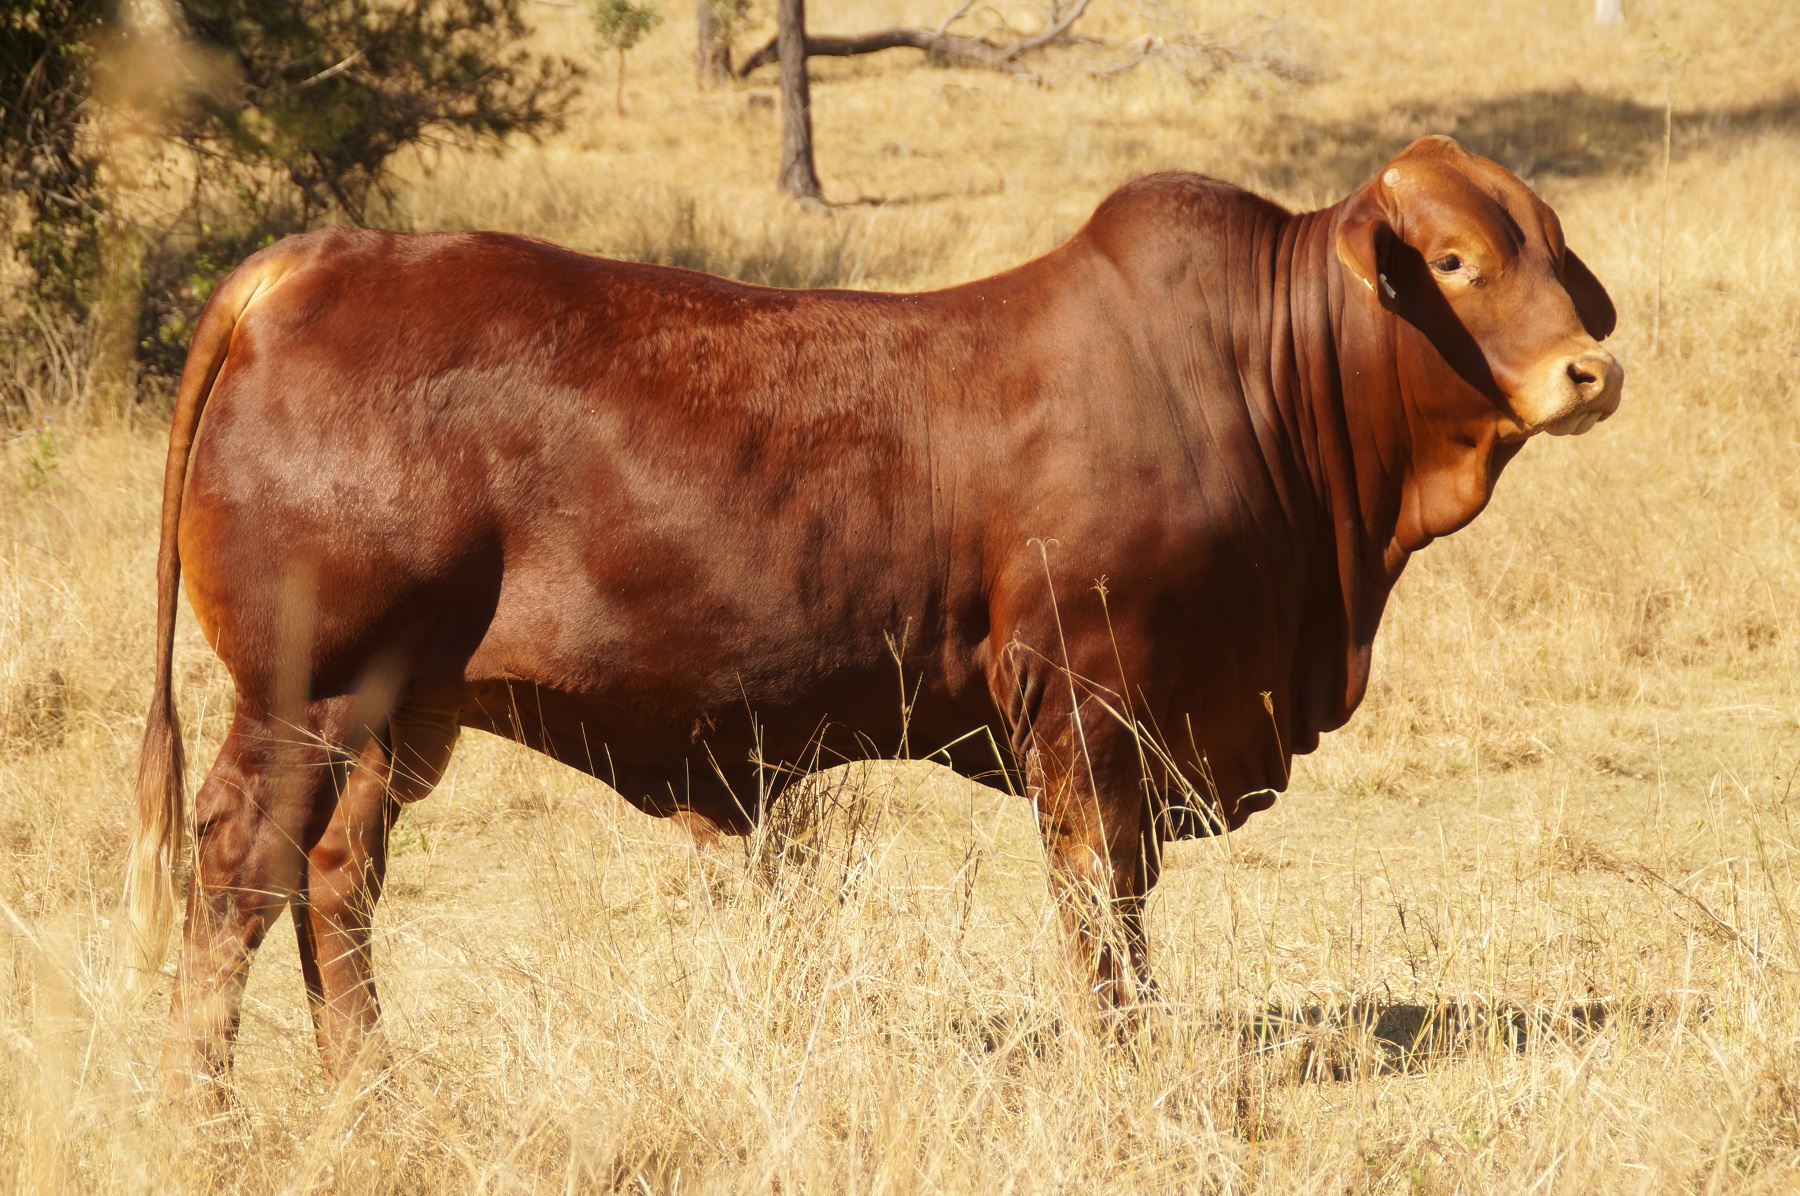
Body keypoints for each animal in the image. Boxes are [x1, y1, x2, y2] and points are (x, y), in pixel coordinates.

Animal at [126, 134, 1621, 1094]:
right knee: (240, 871)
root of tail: (308, 265)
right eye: (1453, 260)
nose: (1589, 371)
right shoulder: (1093, 710)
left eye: (1553, 252)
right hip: (301, 695)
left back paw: (367, 1096)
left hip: (397, 713)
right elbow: (1103, 906)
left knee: (336, 881)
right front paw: (1122, 1070)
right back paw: (204, 1111)